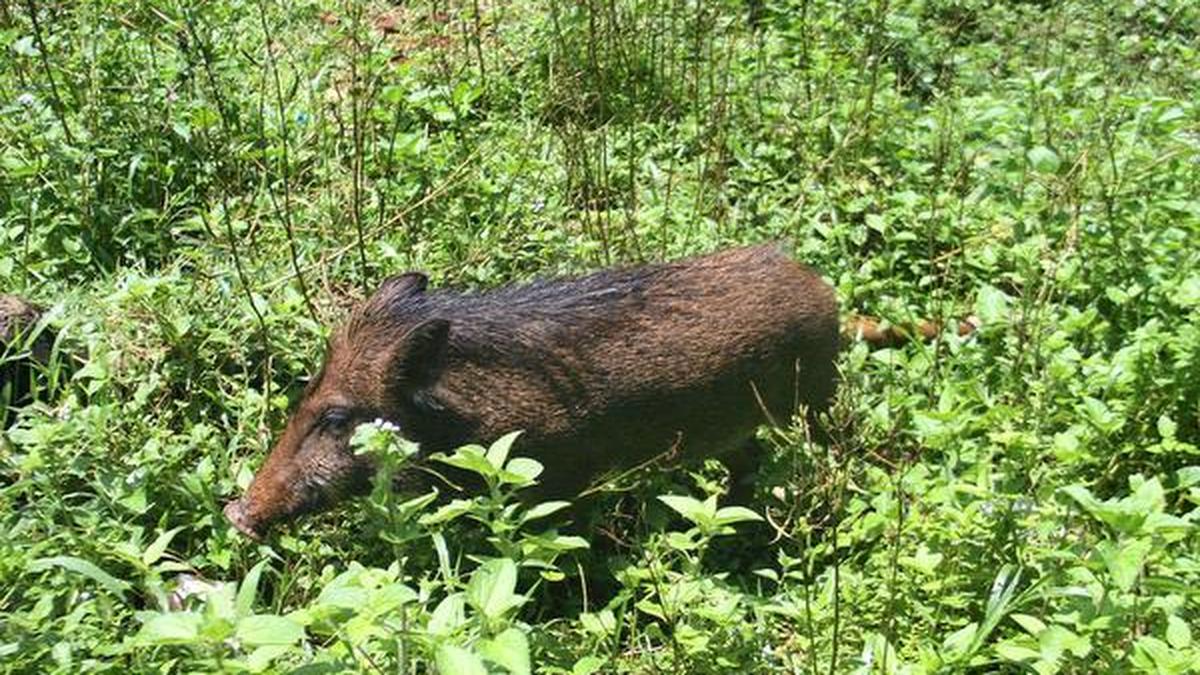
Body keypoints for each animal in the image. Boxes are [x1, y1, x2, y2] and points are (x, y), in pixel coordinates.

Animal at [224, 244, 840, 539]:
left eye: (335, 418)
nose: (236, 514)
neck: (456, 417)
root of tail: (819, 285)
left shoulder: (561, 480)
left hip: (818, 400)